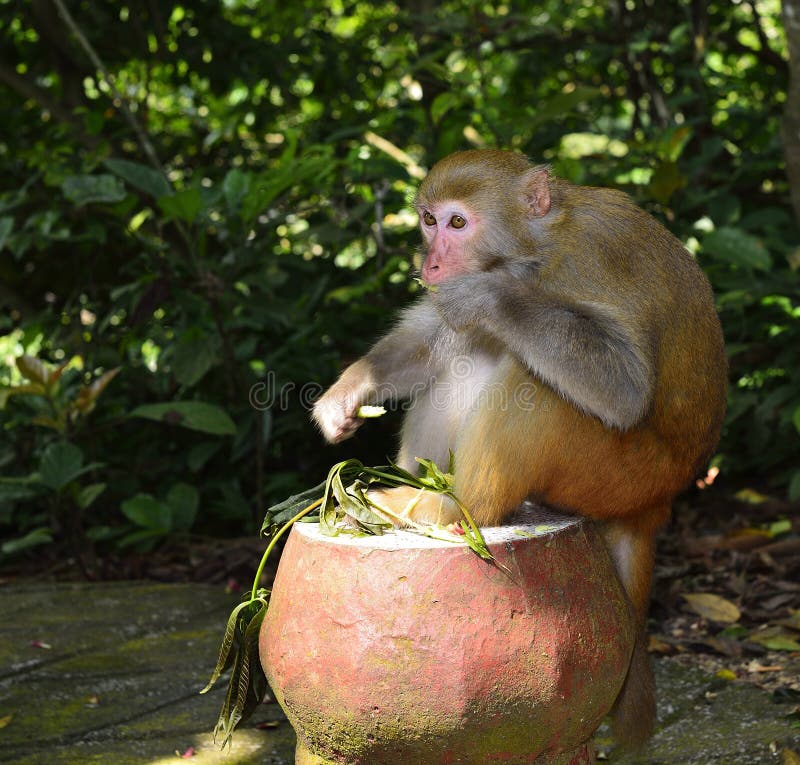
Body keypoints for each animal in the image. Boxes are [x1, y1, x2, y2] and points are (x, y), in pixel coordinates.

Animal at [312, 149, 727, 748]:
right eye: (428, 221)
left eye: (458, 223)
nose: (432, 264)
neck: (535, 251)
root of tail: (657, 505)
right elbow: (432, 339)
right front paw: (349, 392)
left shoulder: (592, 263)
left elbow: (623, 388)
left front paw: (487, 297)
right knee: (467, 351)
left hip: (621, 474)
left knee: (535, 379)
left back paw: (454, 509)